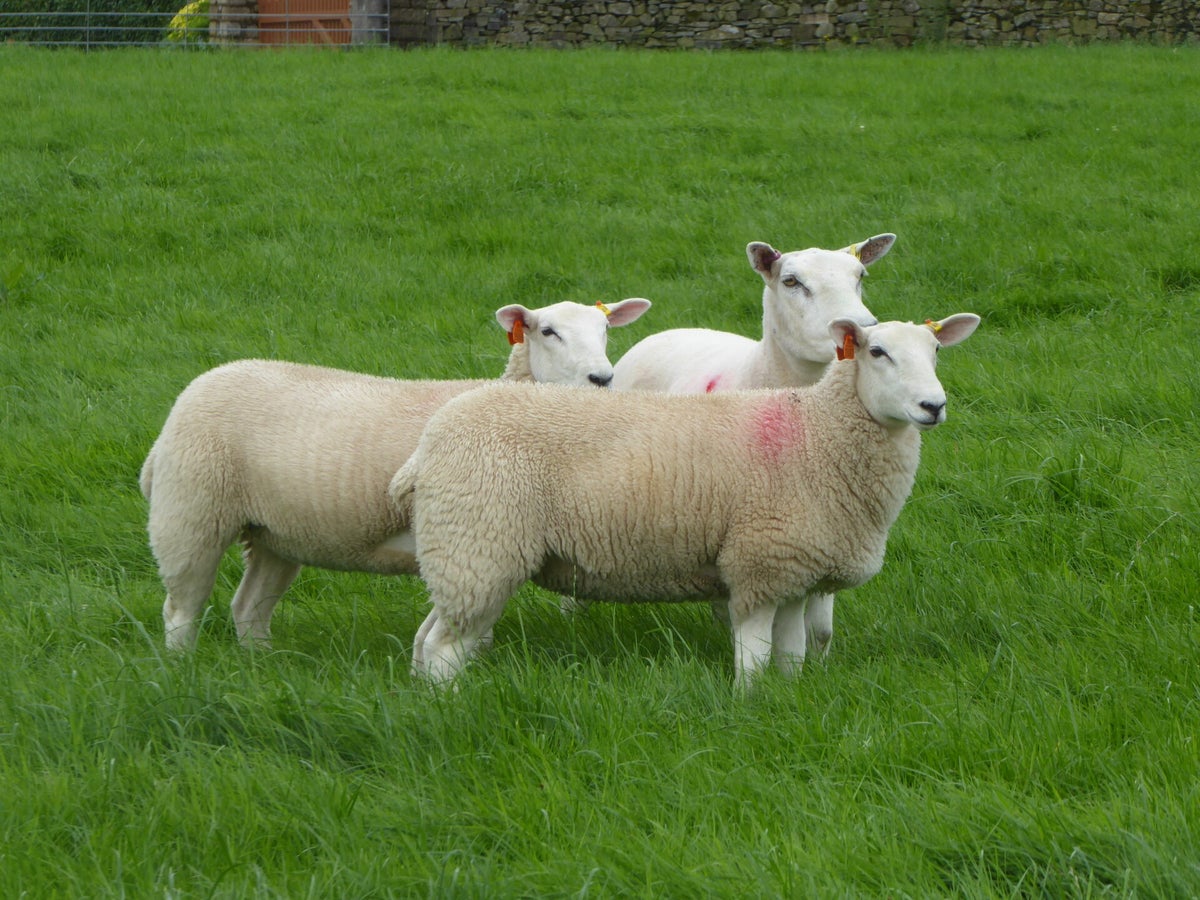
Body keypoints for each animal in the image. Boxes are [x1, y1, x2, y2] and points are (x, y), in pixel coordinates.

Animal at [140, 298, 652, 651]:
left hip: (274, 534)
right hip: (190, 510)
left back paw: (260, 663)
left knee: (248, 607)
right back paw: (182, 667)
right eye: (548, 331)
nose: (602, 379)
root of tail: (201, 382)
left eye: (606, 330)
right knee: (181, 608)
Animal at [389, 314, 980, 687]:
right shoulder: (759, 562)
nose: (933, 406)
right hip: (480, 546)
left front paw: (790, 700)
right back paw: (451, 708)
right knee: (443, 650)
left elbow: (792, 655)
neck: (817, 433)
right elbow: (754, 660)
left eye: (935, 352)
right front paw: (750, 707)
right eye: (877, 352)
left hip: (463, 550)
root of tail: (427, 445)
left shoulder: (794, 569)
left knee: (429, 636)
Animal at [608, 233, 896, 655]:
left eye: (861, 275)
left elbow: (820, 629)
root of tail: (668, 332)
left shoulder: (829, 526)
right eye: (791, 281)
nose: (863, 330)